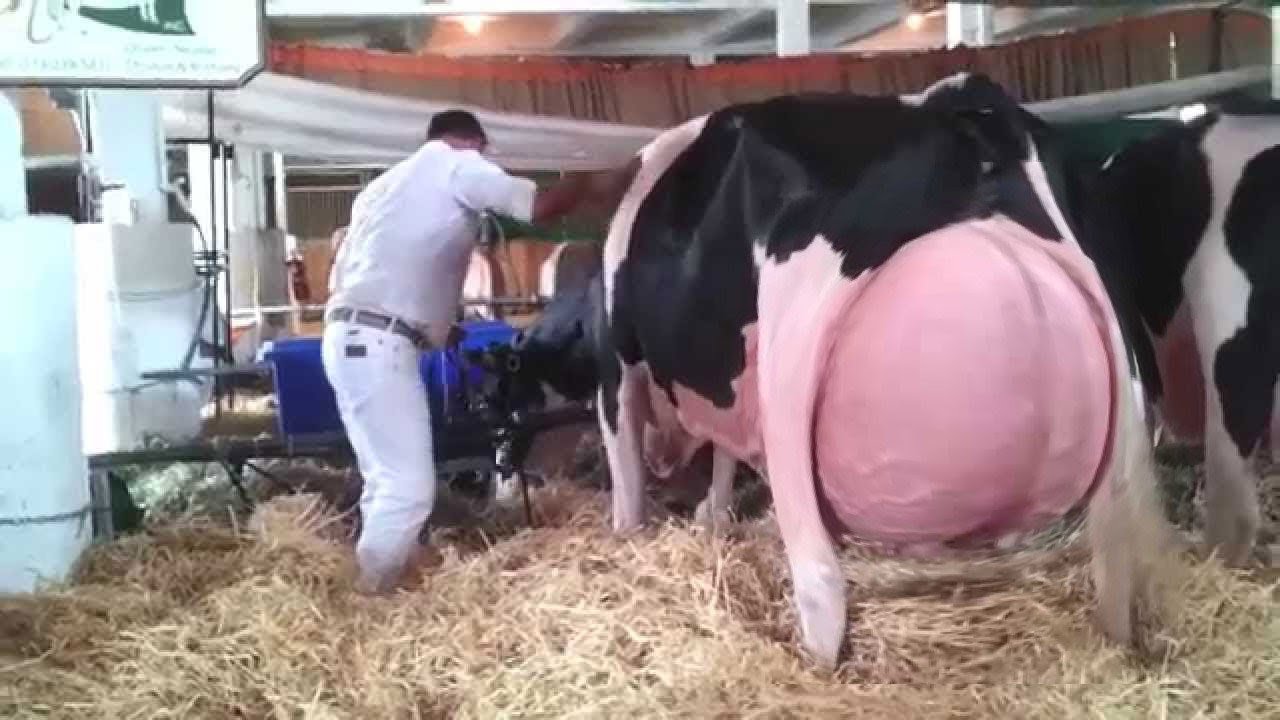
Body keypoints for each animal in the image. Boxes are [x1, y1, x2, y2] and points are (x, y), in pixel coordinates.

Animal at [514, 72, 1172, 669]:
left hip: (789, 368)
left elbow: (627, 475)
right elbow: (724, 456)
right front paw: (714, 516)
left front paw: (632, 531)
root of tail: (966, 101)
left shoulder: (618, 367)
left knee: (821, 586)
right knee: (1116, 568)